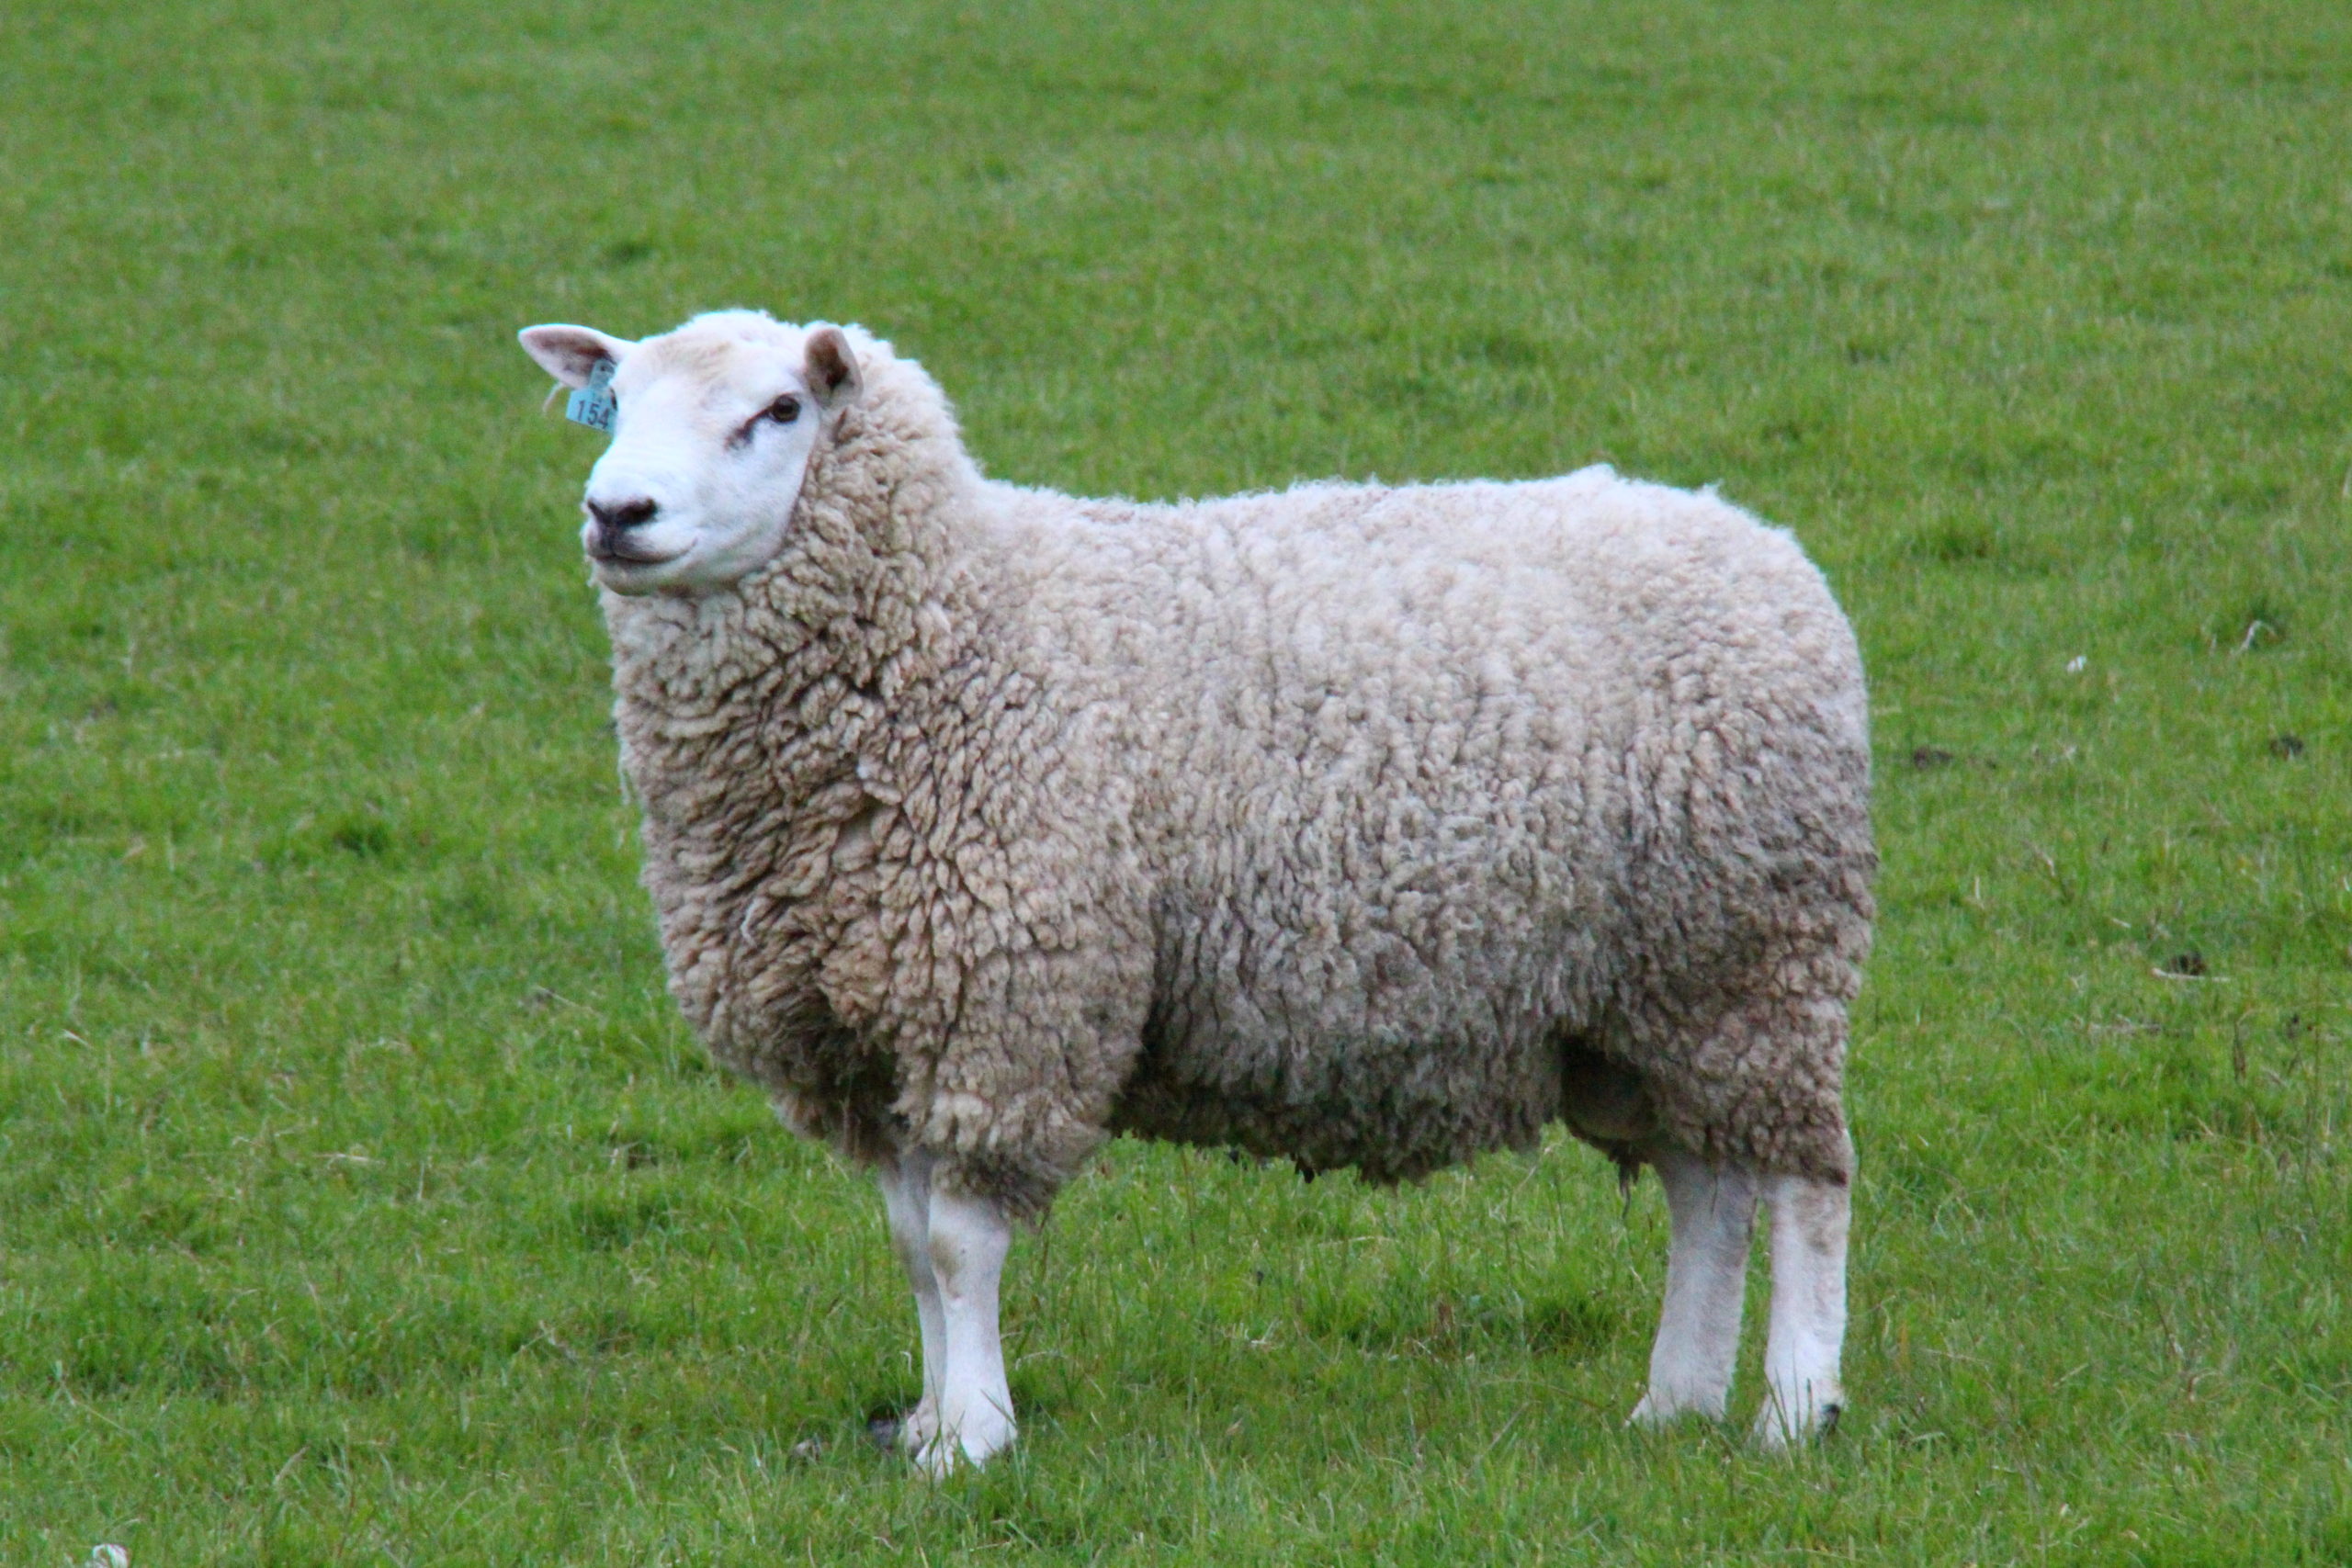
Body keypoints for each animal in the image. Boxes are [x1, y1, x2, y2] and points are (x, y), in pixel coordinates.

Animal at [517, 309, 1877, 1474]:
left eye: (780, 410)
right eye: (614, 403)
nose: (617, 511)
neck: (953, 625)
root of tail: (1760, 545)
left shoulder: (1006, 1005)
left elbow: (958, 1243)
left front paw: (974, 1440)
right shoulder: (874, 1031)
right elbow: (910, 1250)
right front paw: (927, 1424)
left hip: (1757, 957)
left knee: (1804, 1185)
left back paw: (1793, 1409)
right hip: (1653, 993)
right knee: (1708, 1189)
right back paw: (1675, 1402)